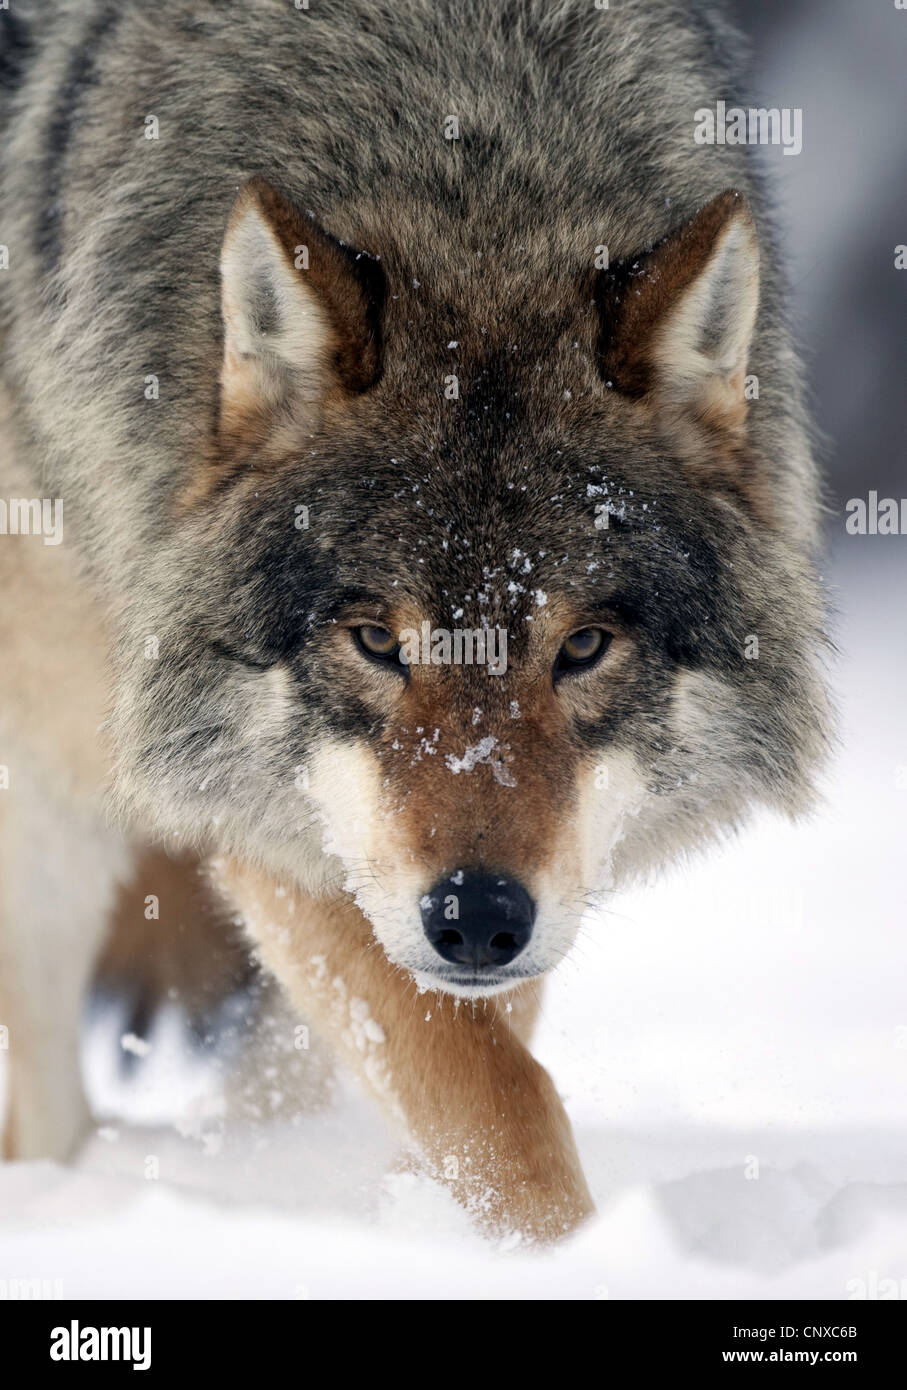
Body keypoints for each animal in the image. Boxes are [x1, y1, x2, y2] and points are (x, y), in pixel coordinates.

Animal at [0, 0, 830, 1243]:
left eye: (581, 647)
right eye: (377, 643)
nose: (477, 918)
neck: (467, 159)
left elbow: (480, 1061)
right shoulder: (263, 811)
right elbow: (487, 1094)